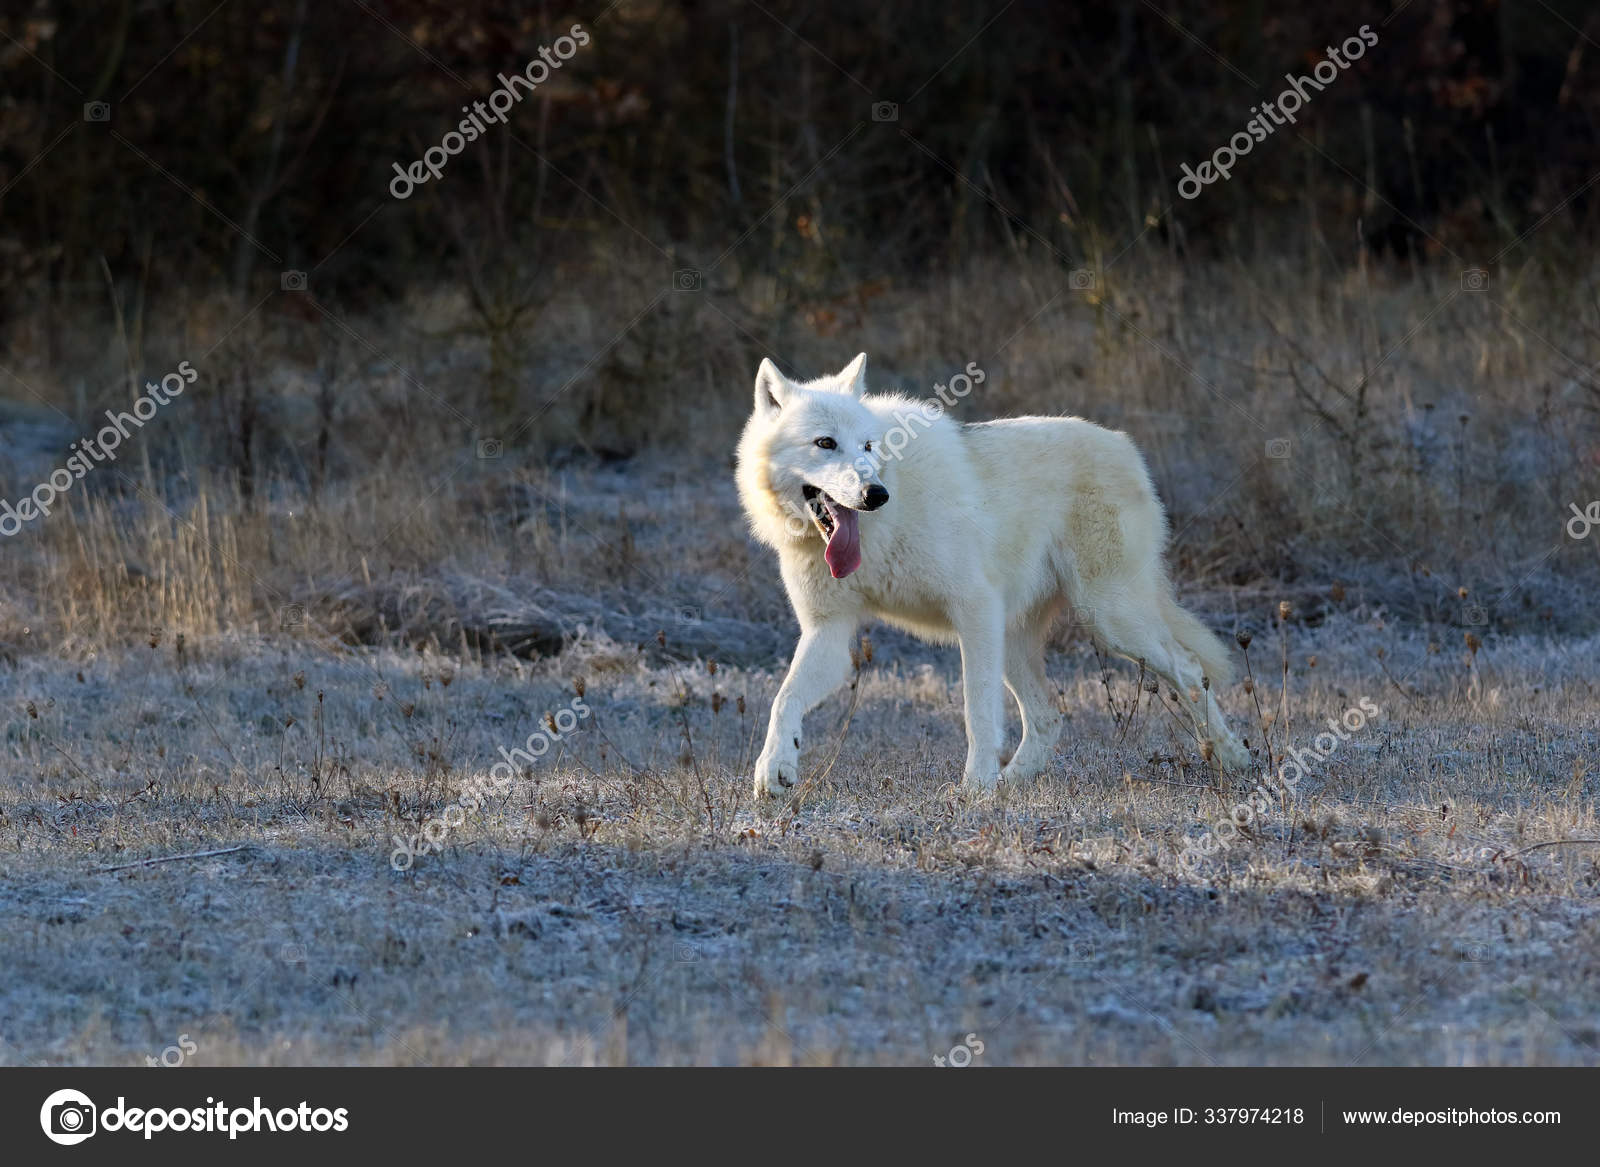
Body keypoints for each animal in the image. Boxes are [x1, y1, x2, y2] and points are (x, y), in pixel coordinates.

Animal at [735, 353, 1250, 797]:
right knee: (1049, 718)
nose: (875, 493)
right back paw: (1011, 783)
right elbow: (783, 698)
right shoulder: (828, 632)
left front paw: (975, 788)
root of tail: (1124, 444)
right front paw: (773, 771)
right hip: (1019, 640)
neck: (883, 524)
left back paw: (1236, 759)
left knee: (1189, 670)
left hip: (1110, 621)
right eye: (825, 443)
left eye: (867, 447)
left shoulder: (974, 609)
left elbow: (976, 710)